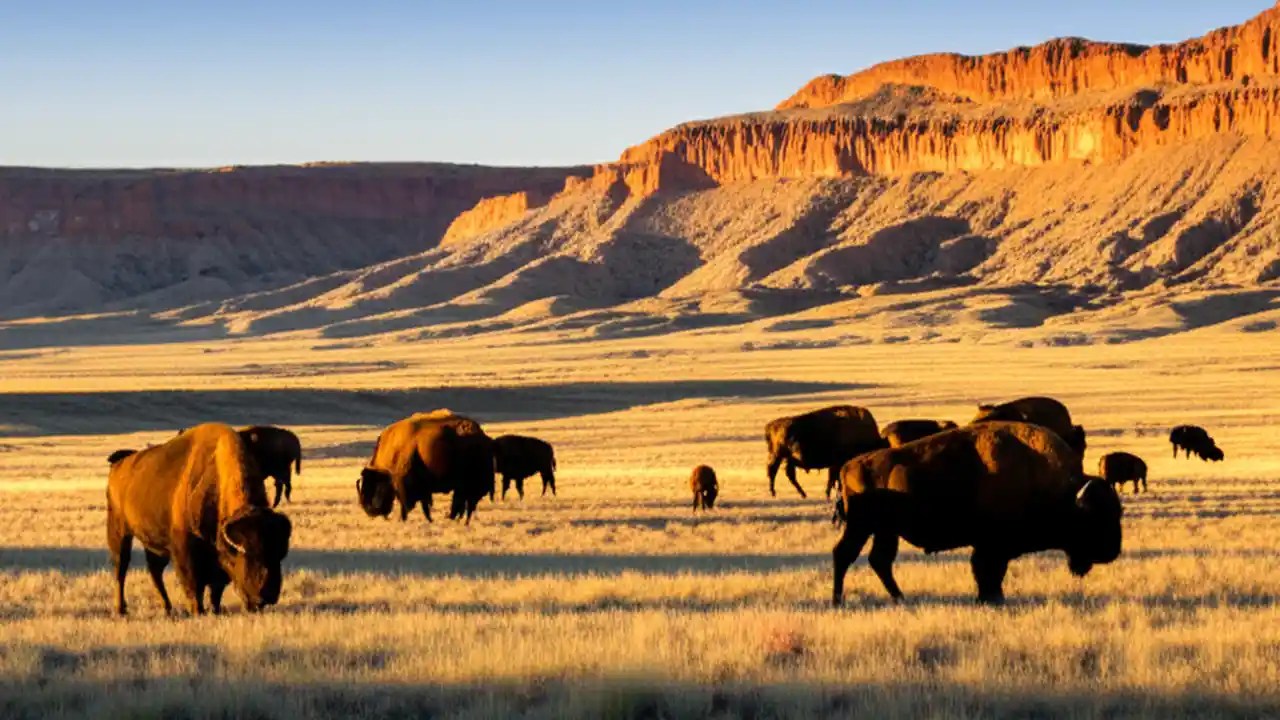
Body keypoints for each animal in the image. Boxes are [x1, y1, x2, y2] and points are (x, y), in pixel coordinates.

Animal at [106, 423, 292, 615]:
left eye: (280, 553)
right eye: (248, 554)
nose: (267, 595)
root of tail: (118, 465)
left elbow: (216, 589)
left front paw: (215, 610)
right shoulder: (186, 550)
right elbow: (194, 585)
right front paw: (198, 611)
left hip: (153, 544)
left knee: (155, 572)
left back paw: (168, 608)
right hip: (119, 531)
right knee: (121, 568)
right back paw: (121, 609)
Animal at [357, 411, 495, 525]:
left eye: (373, 485)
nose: (370, 511)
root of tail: (483, 437)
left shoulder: (402, 483)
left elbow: (406, 504)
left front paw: (402, 519)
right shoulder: (422, 487)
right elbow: (424, 506)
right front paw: (430, 520)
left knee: (465, 503)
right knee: (463, 504)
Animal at [832, 422, 1122, 606]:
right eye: (1096, 518)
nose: (1113, 551)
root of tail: (849, 465)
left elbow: (989, 572)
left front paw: (990, 597)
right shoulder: (992, 545)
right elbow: (987, 570)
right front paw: (992, 598)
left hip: (885, 530)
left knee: (879, 560)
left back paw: (899, 598)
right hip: (862, 525)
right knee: (845, 554)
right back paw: (838, 600)